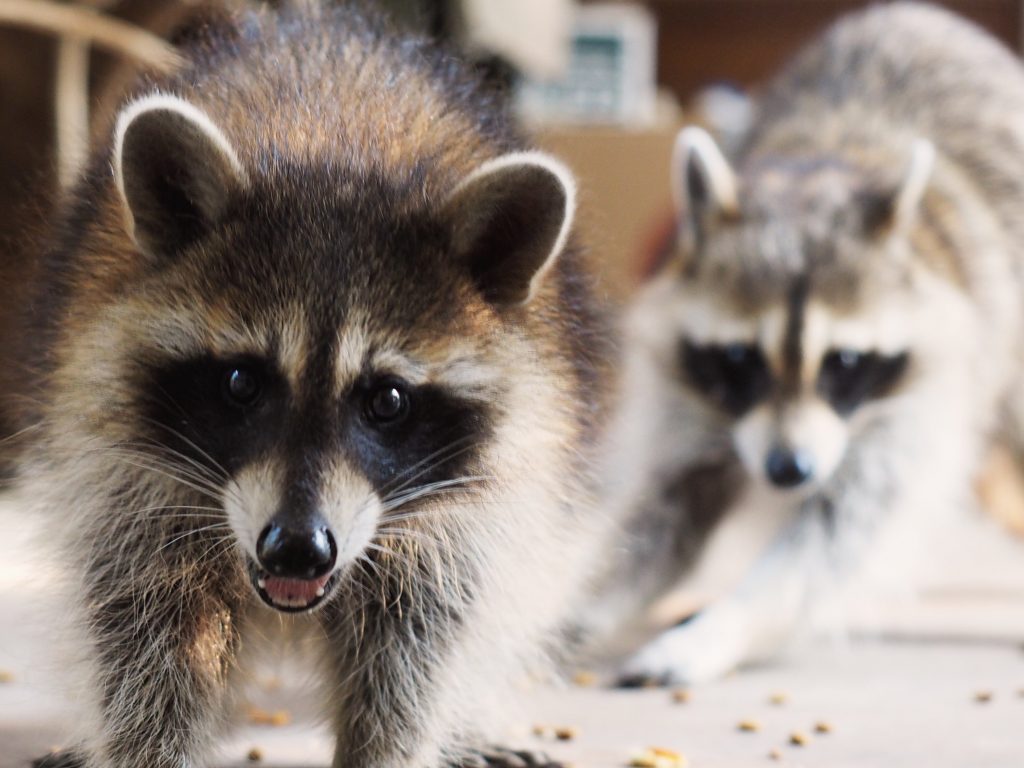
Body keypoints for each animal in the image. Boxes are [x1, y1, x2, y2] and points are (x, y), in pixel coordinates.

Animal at [11, 3, 611, 766]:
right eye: (242, 381)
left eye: (387, 400)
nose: (296, 547)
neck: (335, 150)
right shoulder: (129, 483)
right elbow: (148, 645)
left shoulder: (454, 523)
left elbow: (414, 654)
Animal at [585, 2, 1024, 684]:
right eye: (740, 358)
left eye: (844, 362)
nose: (788, 471)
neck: (818, 167)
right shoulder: (687, 395)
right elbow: (660, 510)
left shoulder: (919, 398)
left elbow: (838, 531)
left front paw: (725, 627)